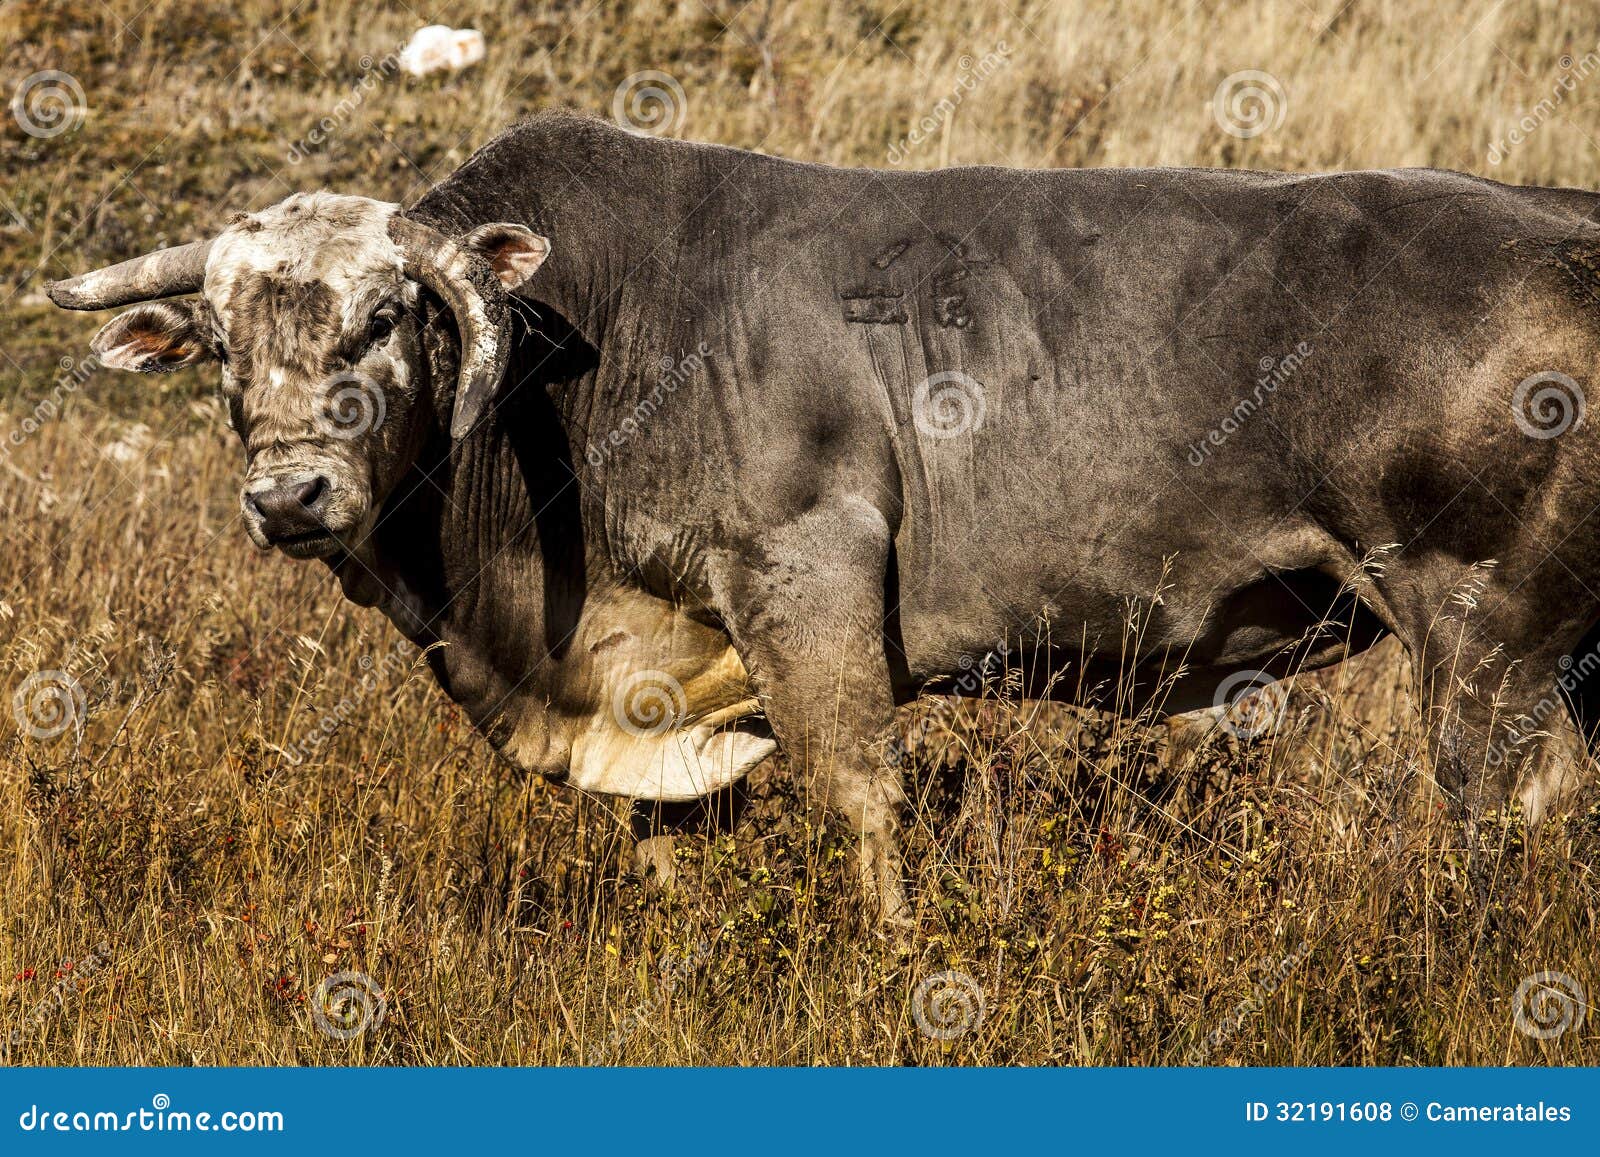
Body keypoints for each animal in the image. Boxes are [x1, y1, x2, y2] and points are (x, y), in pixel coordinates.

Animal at [47, 111, 1600, 926]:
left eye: (383, 319)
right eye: (221, 347)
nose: (287, 494)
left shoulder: (807, 570)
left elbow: (861, 795)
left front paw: (898, 963)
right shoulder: (653, 676)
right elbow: (663, 837)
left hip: (1481, 628)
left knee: (1504, 801)